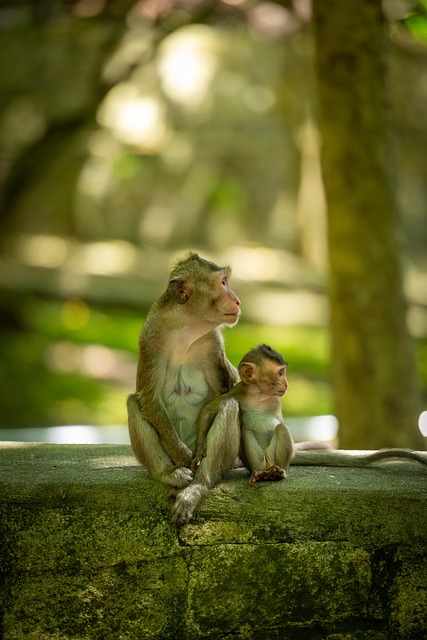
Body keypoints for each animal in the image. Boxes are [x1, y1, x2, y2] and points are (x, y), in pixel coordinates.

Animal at [126, 252, 242, 524]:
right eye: (223, 282)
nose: (237, 300)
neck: (185, 330)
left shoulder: (213, 344)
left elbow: (223, 396)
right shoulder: (149, 339)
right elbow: (149, 398)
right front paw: (183, 459)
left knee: (229, 406)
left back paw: (198, 486)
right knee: (134, 402)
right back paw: (170, 473)